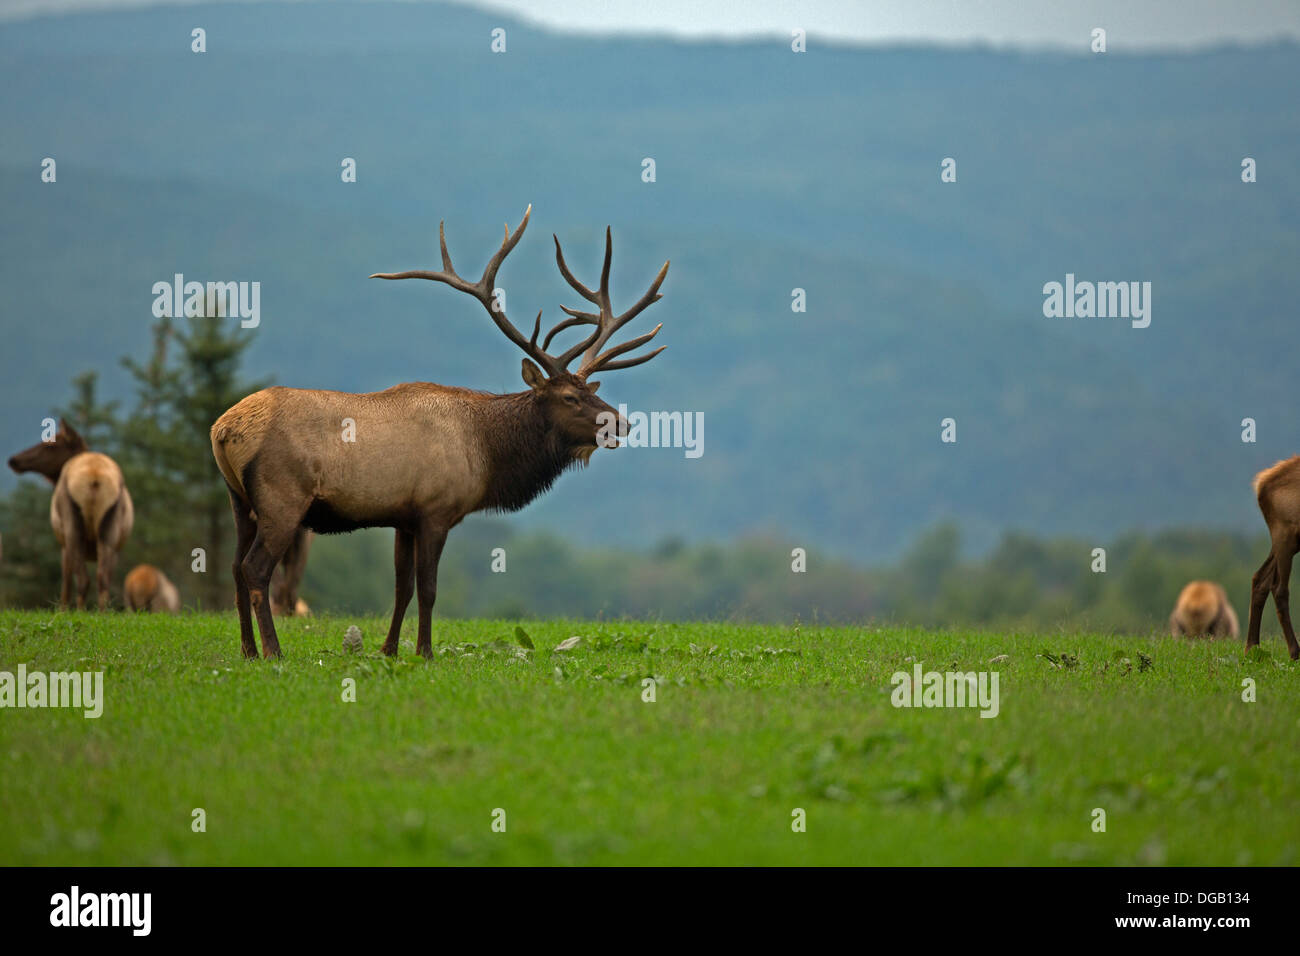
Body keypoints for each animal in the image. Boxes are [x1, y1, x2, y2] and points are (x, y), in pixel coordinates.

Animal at [7, 420, 135, 610]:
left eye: (49, 444)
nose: (13, 460)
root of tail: (94, 477)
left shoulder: (64, 545)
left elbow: (66, 584)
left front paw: (62, 610)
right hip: (109, 532)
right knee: (102, 579)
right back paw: (102, 612)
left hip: (72, 527)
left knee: (83, 579)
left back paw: (80, 611)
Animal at [211, 206, 668, 659]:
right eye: (570, 398)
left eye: (592, 391)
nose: (623, 423)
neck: (487, 453)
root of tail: (222, 429)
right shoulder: (436, 509)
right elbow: (428, 588)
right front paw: (425, 652)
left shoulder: (403, 518)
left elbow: (401, 588)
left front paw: (389, 649)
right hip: (282, 498)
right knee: (255, 569)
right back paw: (272, 650)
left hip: (239, 500)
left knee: (233, 568)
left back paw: (247, 649)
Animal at [1246, 456, 1300, 660]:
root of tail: (1261, 484)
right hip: (1286, 532)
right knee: (1279, 588)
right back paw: (1295, 651)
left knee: (1260, 578)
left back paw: (1252, 648)